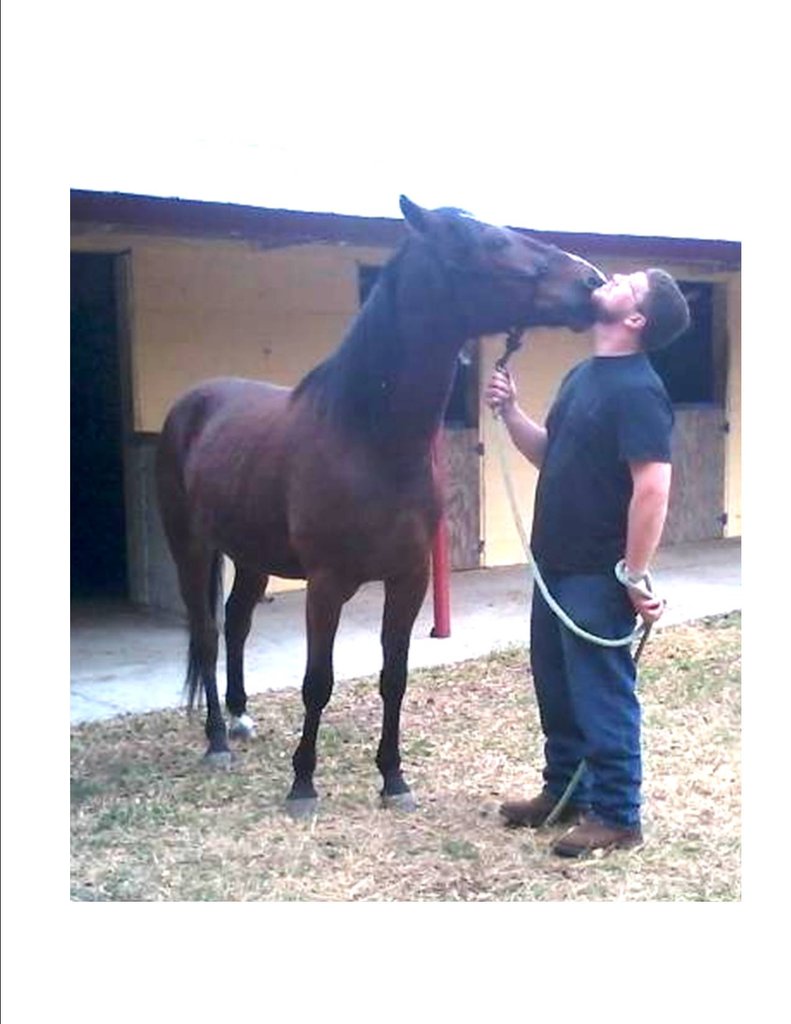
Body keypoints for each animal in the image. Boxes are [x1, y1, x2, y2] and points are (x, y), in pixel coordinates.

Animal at [155, 195, 606, 817]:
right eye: (488, 241)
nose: (591, 282)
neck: (367, 438)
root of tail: (191, 403)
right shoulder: (325, 585)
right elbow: (317, 681)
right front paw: (303, 784)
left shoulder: (409, 578)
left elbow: (395, 675)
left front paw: (393, 778)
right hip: (192, 548)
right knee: (204, 631)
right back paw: (218, 740)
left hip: (250, 555)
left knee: (236, 621)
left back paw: (242, 718)